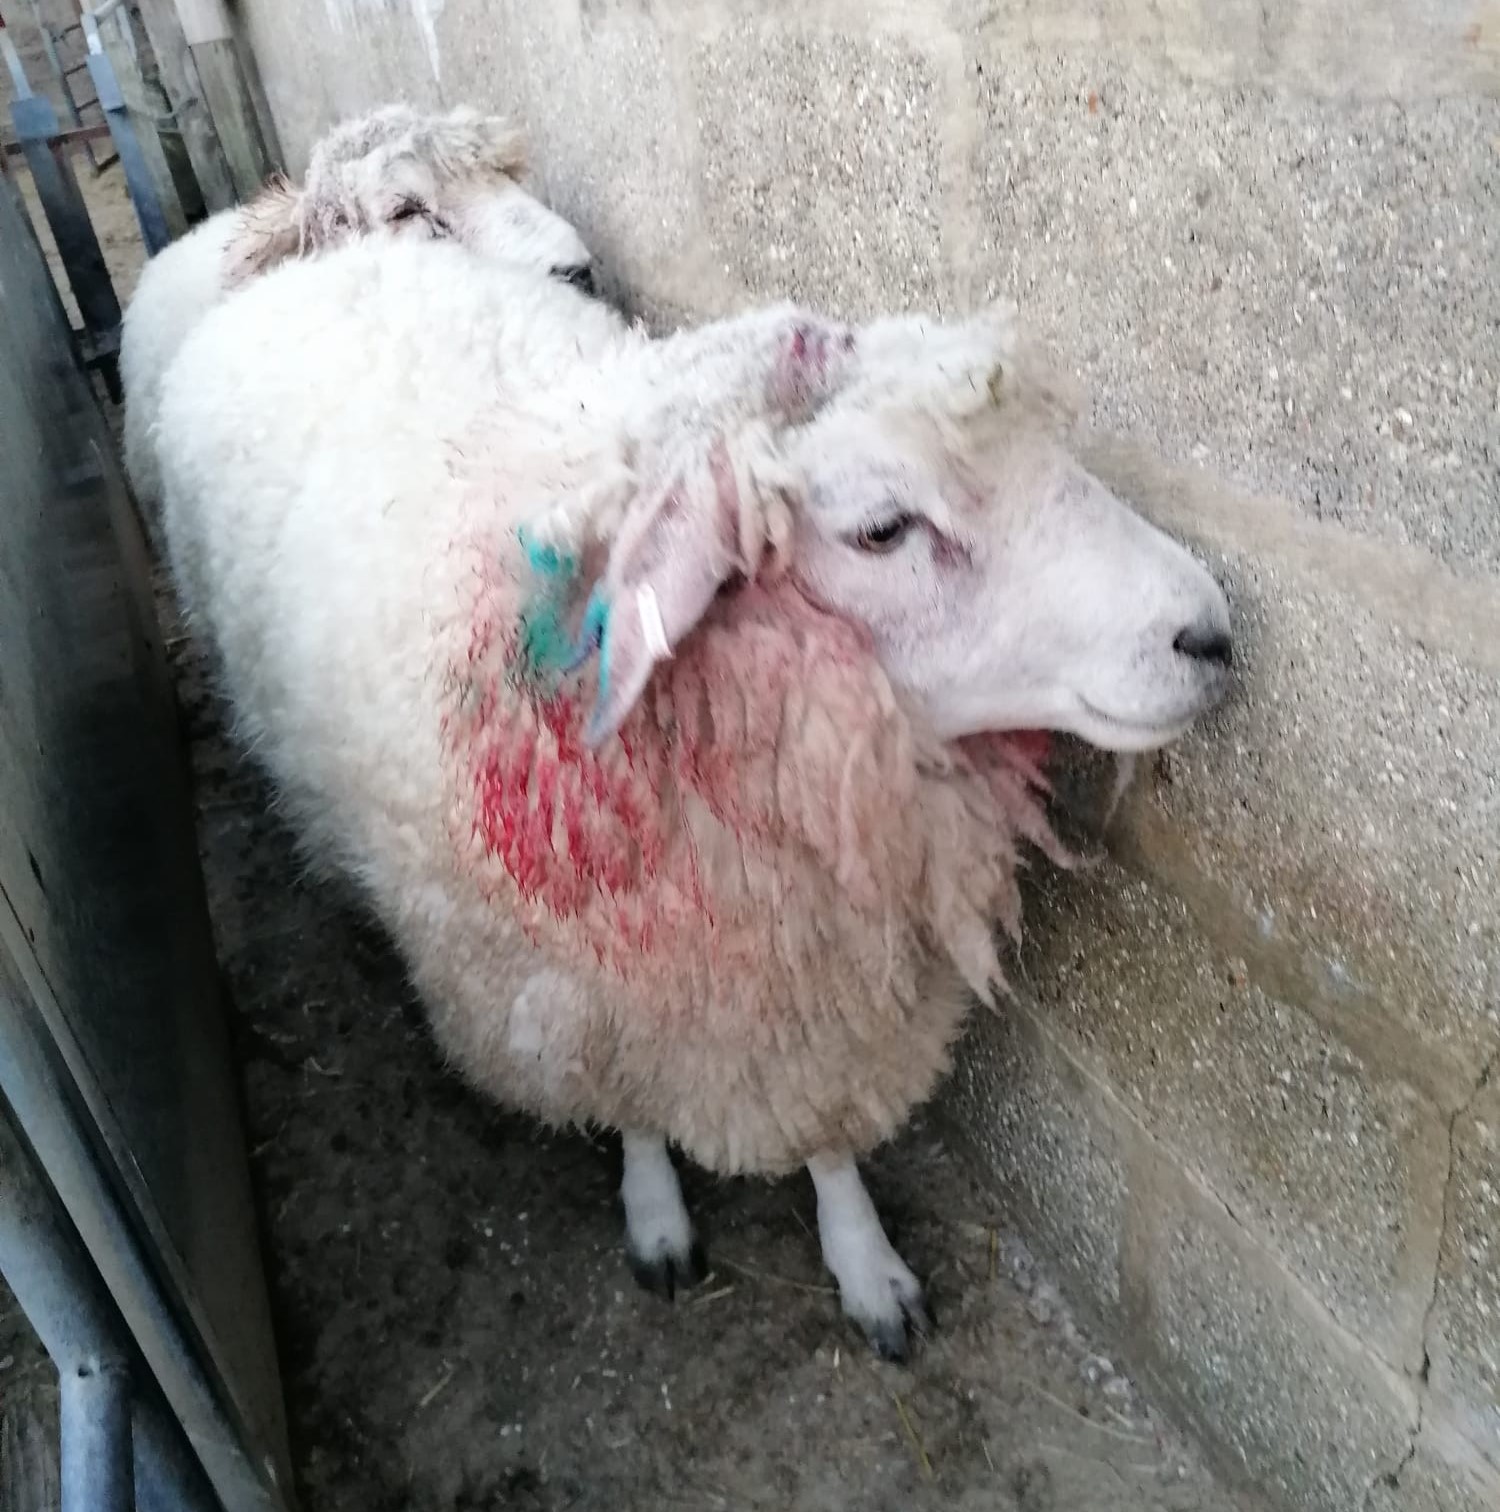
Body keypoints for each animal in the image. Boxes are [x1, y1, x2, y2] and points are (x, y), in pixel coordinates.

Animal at [156, 233, 1232, 1360]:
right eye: (883, 529)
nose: (1209, 634)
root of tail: (336, 249)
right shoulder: (596, 999)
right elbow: (634, 1111)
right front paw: (658, 1214)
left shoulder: (819, 999)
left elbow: (828, 1141)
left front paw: (867, 1264)